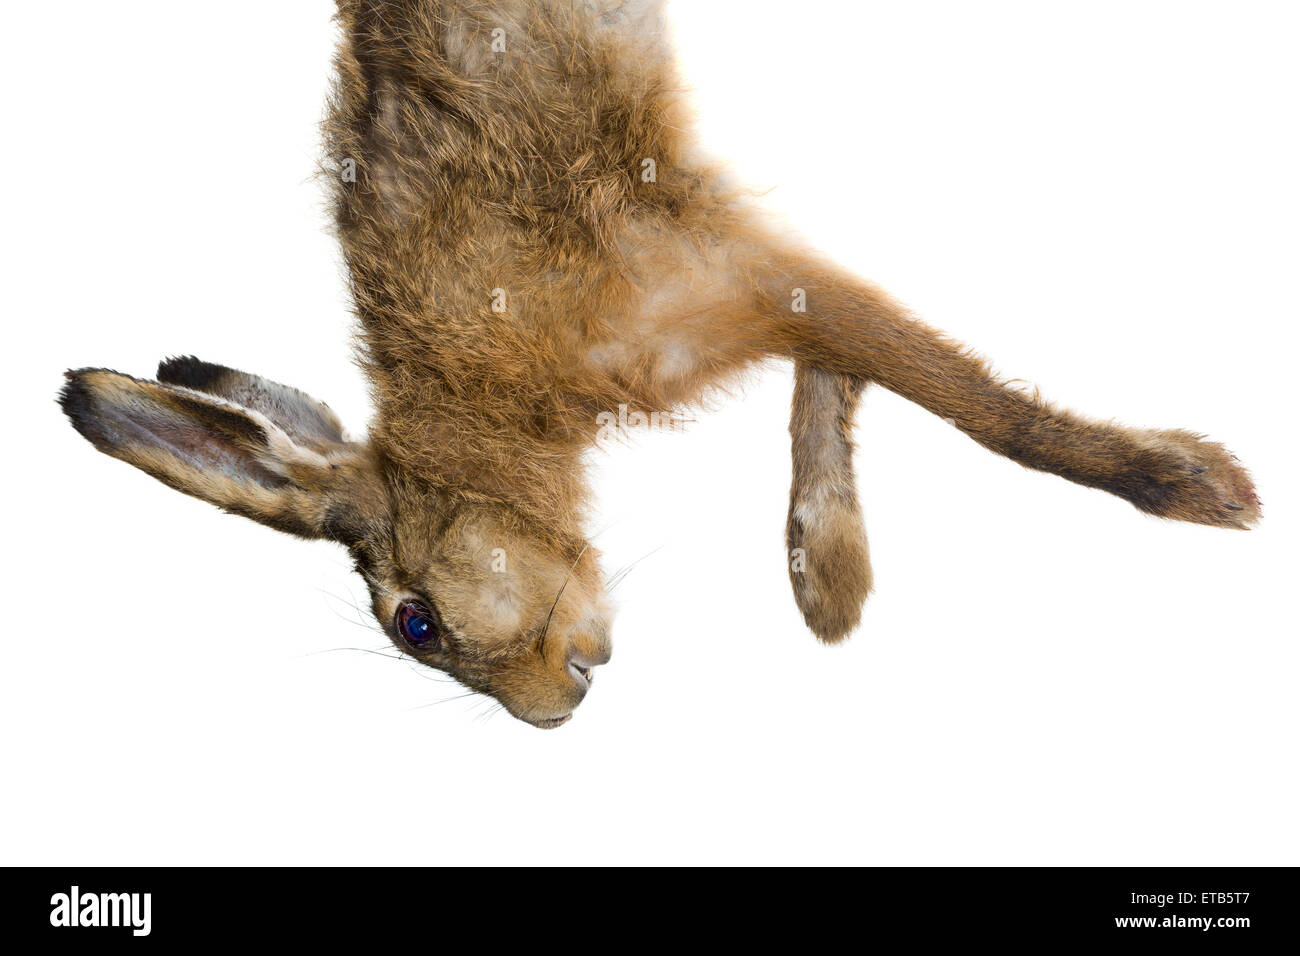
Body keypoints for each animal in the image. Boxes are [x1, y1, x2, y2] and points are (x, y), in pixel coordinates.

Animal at [60, 0, 1258, 728]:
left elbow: (969, 403)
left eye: (416, 623)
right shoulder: (756, 282)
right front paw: (828, 572)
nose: (553, 710)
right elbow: (836, 383)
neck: (481, 408)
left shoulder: (741, 273)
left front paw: (1197, 485)